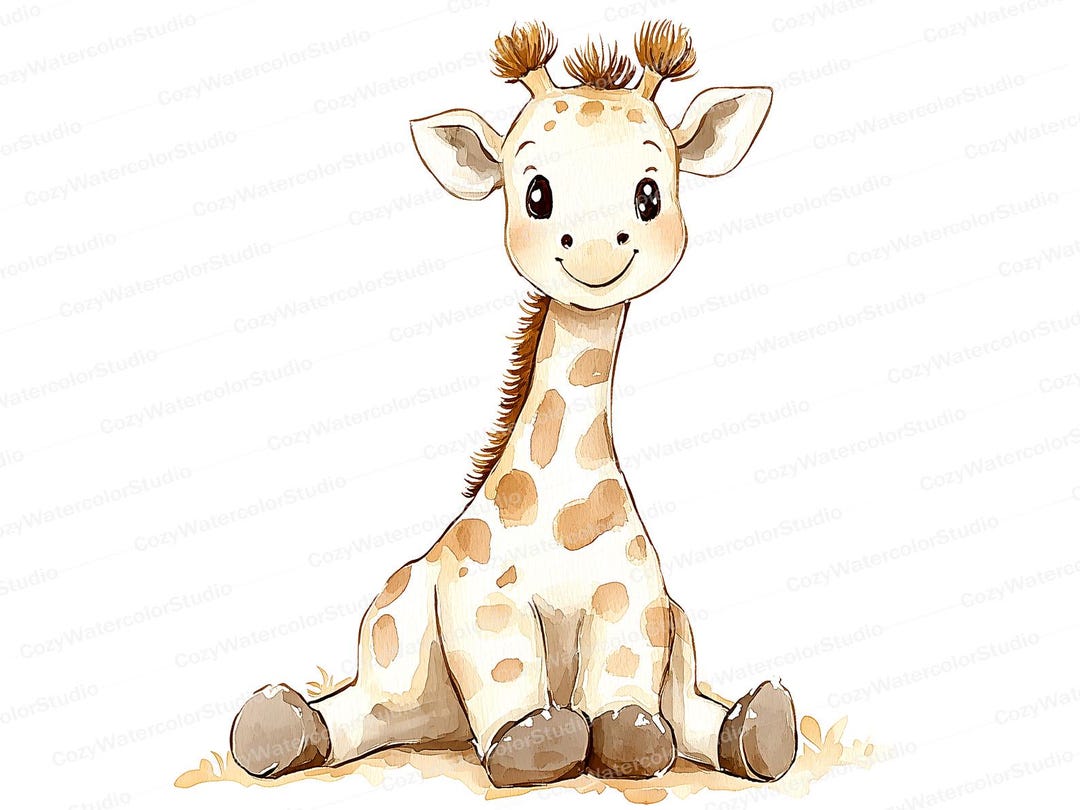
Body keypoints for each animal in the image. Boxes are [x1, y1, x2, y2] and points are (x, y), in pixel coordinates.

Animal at [228, 20, 796, 788]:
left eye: (650, 194)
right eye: (536, 194)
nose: (595, 249)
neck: (566, 518)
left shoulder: (635, 596)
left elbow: (633, 700)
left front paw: (626, 740)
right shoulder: (480, 594)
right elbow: (506, 674)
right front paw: (536, 744)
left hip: (680, 634)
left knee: (693, 713)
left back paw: (762, 726)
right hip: (396, 653)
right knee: (362, 715)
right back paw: (273, 725)